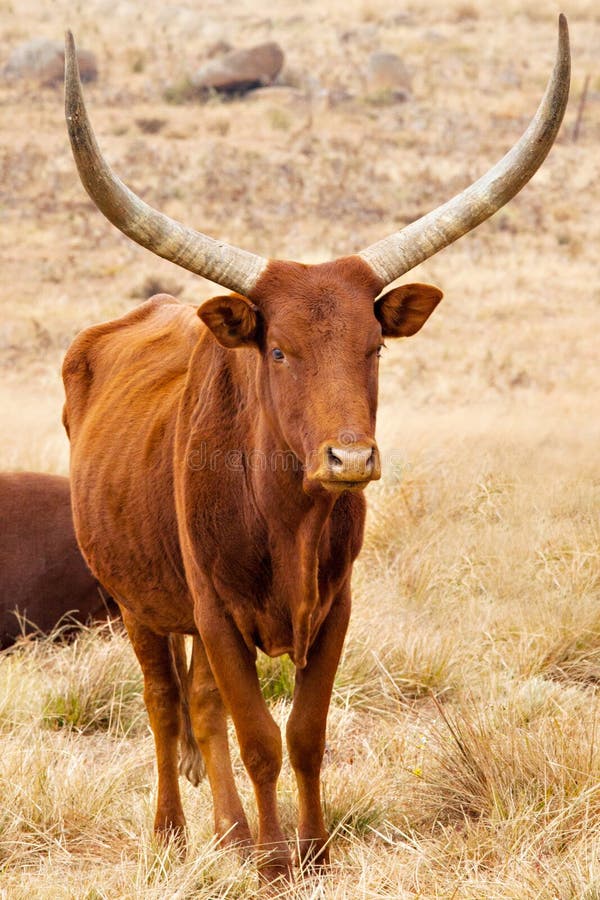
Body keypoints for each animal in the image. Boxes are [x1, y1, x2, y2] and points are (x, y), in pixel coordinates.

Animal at [61, 18, 570, 884]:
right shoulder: (215, 610)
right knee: (164, 706)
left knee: (200, 707)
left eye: (375, 346)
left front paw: (313, 852)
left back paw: (229, 835)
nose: (350, 461)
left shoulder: (335, 607)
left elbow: (303, 735)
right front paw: (273, 864)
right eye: (279, 351)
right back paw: (172, 836)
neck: (285, 516)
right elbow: (259, 737)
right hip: (137, 602)